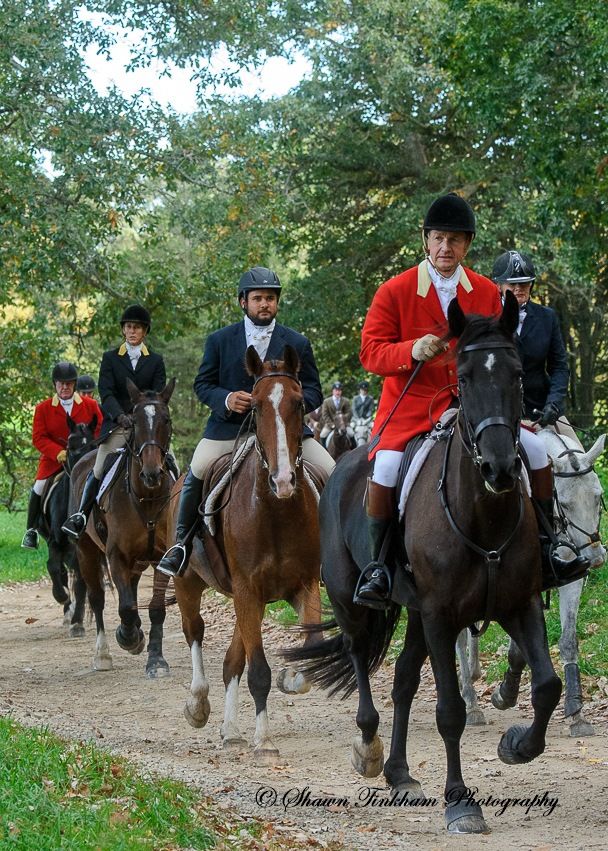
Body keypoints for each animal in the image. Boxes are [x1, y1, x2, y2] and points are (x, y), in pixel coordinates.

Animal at [36, 414, 98, 636]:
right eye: (70, 446)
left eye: (93, 444)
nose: (83, 467)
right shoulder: (54, 542)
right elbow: (54, 568)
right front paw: (62, 597)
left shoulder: (81, 547)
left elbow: (80, 584)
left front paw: (78, 621)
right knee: (62, 571)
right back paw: (67, 608)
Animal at [71, 378, 176, 677]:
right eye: (134, 422)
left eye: (166, 420)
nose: (152, 473)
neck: (147, 496)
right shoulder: (115, 555)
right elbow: (126, 606)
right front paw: (128, 637)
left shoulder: (161, 558)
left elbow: (155, 608)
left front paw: (156, 659)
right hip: (86, 552)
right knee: (97, 598)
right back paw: (103, 655)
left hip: (137, 560)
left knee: (131, 586)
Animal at [172, 345, 322, 765]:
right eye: (253, 406)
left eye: (299, 402)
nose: (283, 480)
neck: (276, 511)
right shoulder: (246, 589)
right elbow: (259, 672)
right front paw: (265, 742)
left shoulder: (304, 585)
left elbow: (306, 653)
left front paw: (293, 678)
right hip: (189, 582)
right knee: (195, 631)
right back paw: (198, 705)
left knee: (231, 661)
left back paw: (230, 732)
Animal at [284, 293, 563, 835]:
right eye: (465, 375)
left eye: (518, 374)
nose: (501, 467)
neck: (483, 514)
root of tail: (343, 464)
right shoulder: (440, 616)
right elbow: (450, 710)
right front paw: (460, 802)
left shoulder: (518, 604)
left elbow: (546, 685)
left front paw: (517, 745)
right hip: (354, 600)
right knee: (360, 657)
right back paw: (369, 749)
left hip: (414, 613)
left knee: (403, 681)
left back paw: (399, 772)